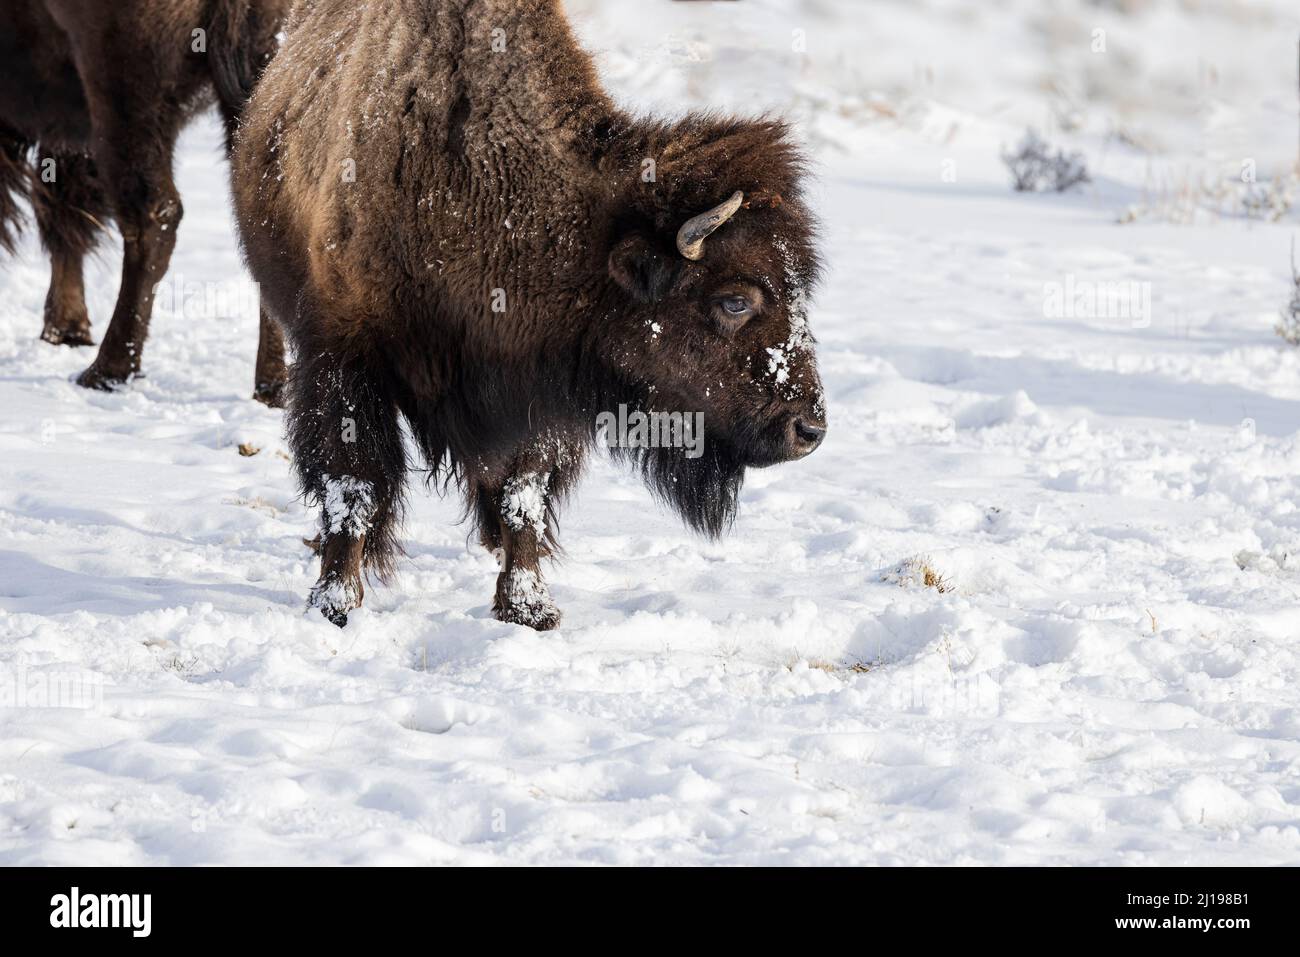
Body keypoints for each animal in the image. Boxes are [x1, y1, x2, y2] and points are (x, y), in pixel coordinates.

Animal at [233, 0, 827, 630]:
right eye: (734, 299)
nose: (809, 430)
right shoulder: (344, 357)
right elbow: (354, 484)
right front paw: (338, 605)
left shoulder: (536, 389)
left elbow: (523, 494)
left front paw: (528, 608)